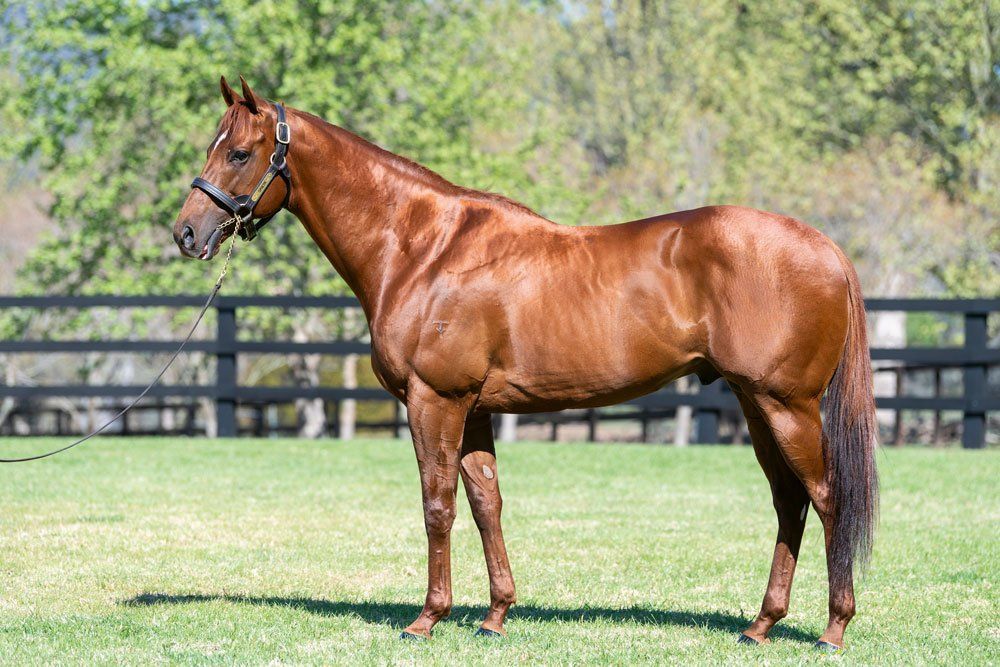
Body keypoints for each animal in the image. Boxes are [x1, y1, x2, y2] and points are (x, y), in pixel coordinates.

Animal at [173, 76, 878, 651]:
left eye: (238, 153)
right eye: (213, 145)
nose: (186, 233)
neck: (424, 249)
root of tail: (825, 247)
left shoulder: (435, 400)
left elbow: (437, 504)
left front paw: (427, 619)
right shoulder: (474, 410)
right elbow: (487, 503)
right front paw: (495, 616)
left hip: (787, 407)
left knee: (827, 498)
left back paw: (833, 628)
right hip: (757, 405)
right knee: (789, 502)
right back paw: (761, 625)